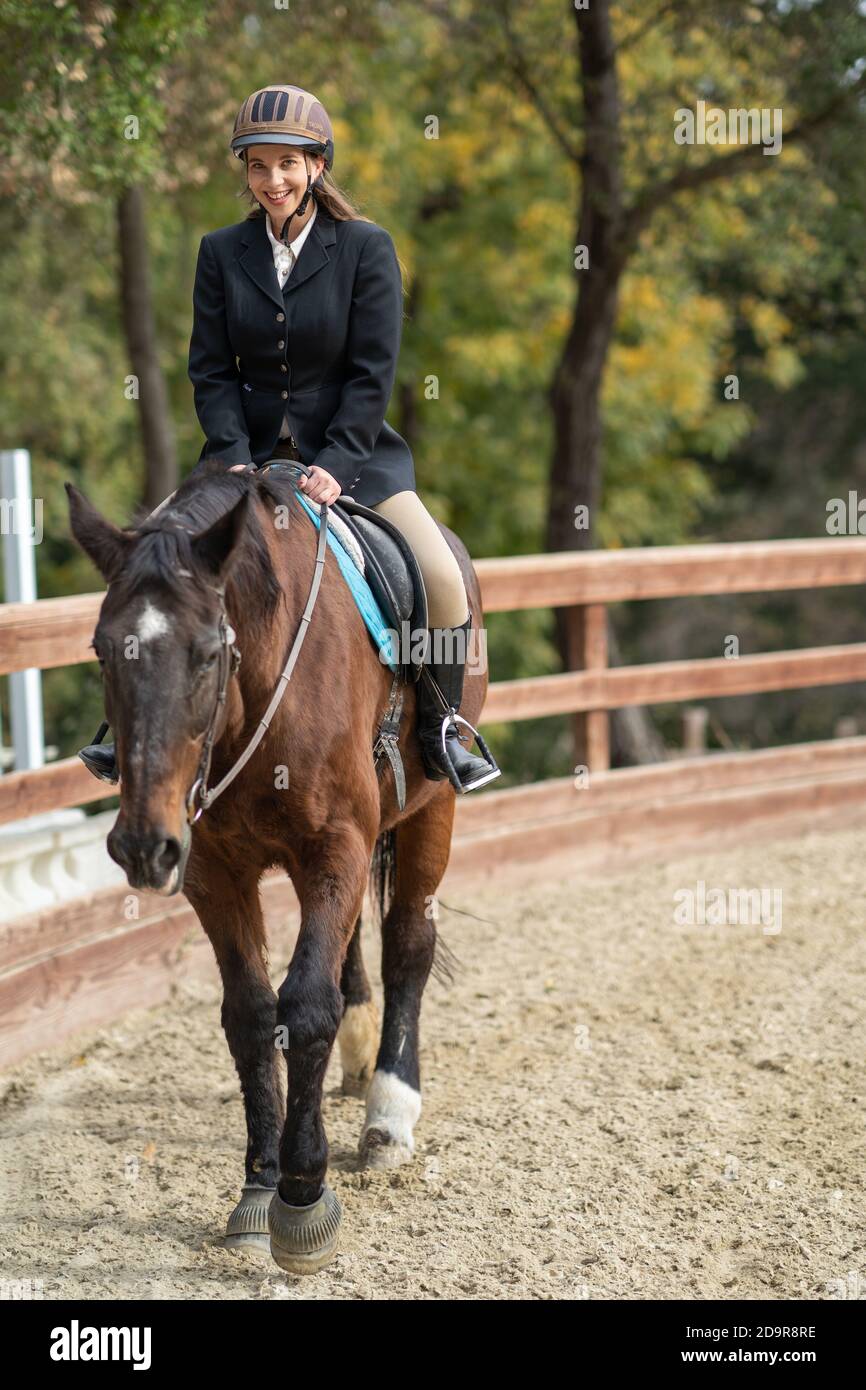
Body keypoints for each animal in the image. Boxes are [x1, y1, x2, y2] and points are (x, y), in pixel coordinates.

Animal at [65, 458, 490, 1273]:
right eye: (103, 651)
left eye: (208, 652)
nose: (142, 846)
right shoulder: (213, 872)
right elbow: (253, 1015)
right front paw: (259, 1185)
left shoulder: (337, 844)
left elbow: (306, 1005)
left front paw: (302, 1195)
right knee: (349, 951)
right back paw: (358, 1056)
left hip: (433, 809)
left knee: (407, 947)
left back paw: (389, 1111)